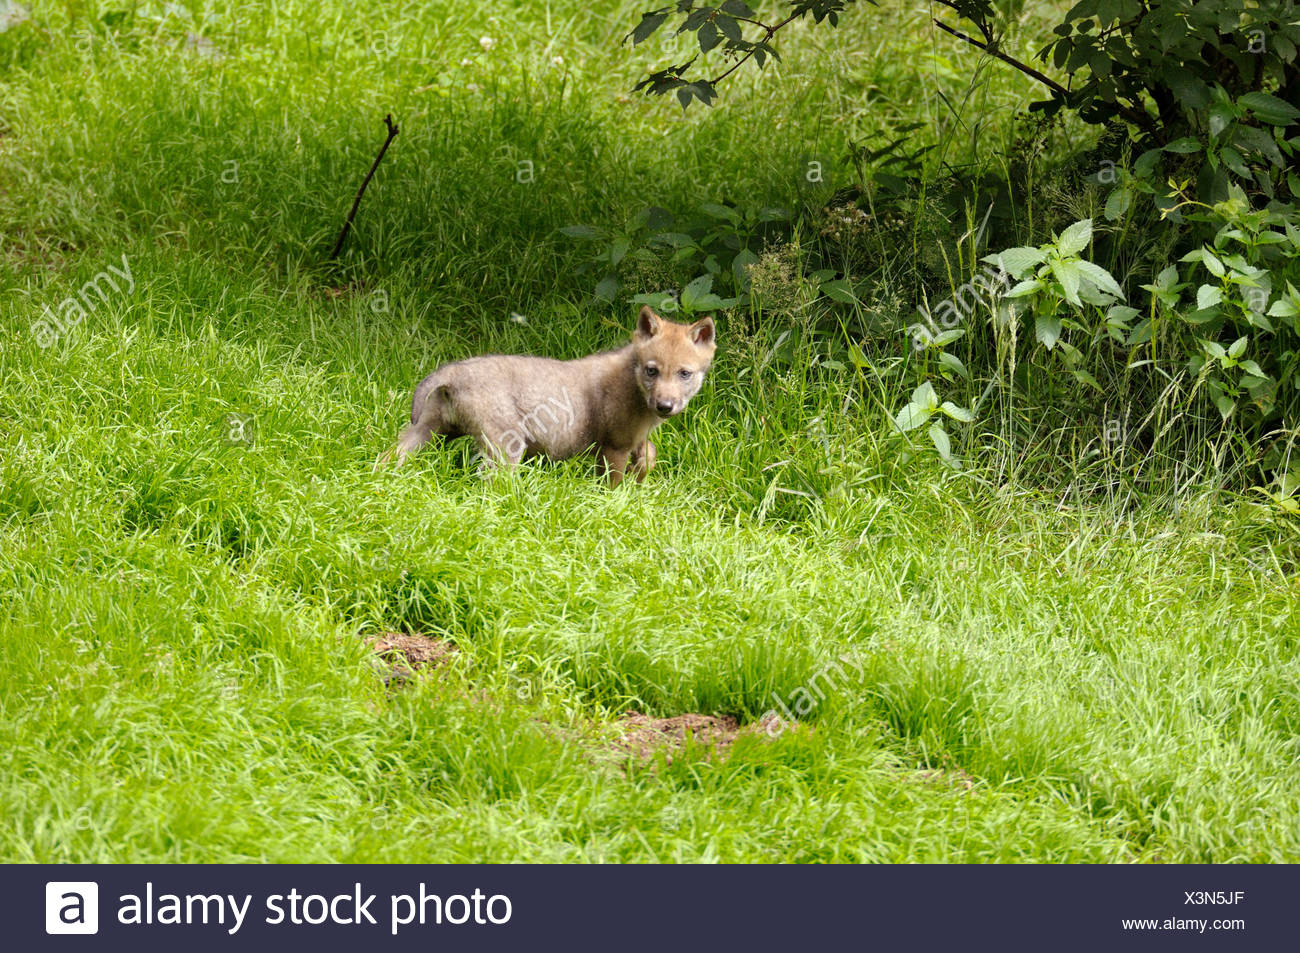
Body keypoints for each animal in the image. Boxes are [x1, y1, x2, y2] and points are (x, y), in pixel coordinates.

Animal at [379, 306, 716, 486]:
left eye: (684, 374)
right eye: (652, 371)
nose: (665, 405)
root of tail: (454, 372)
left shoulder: (634, 440)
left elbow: (650, 454)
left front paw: (641, 477)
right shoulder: (613, 447)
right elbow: (613, 485)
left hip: (427, 433)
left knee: (388, 457)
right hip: (506, 448)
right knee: (489, 484)